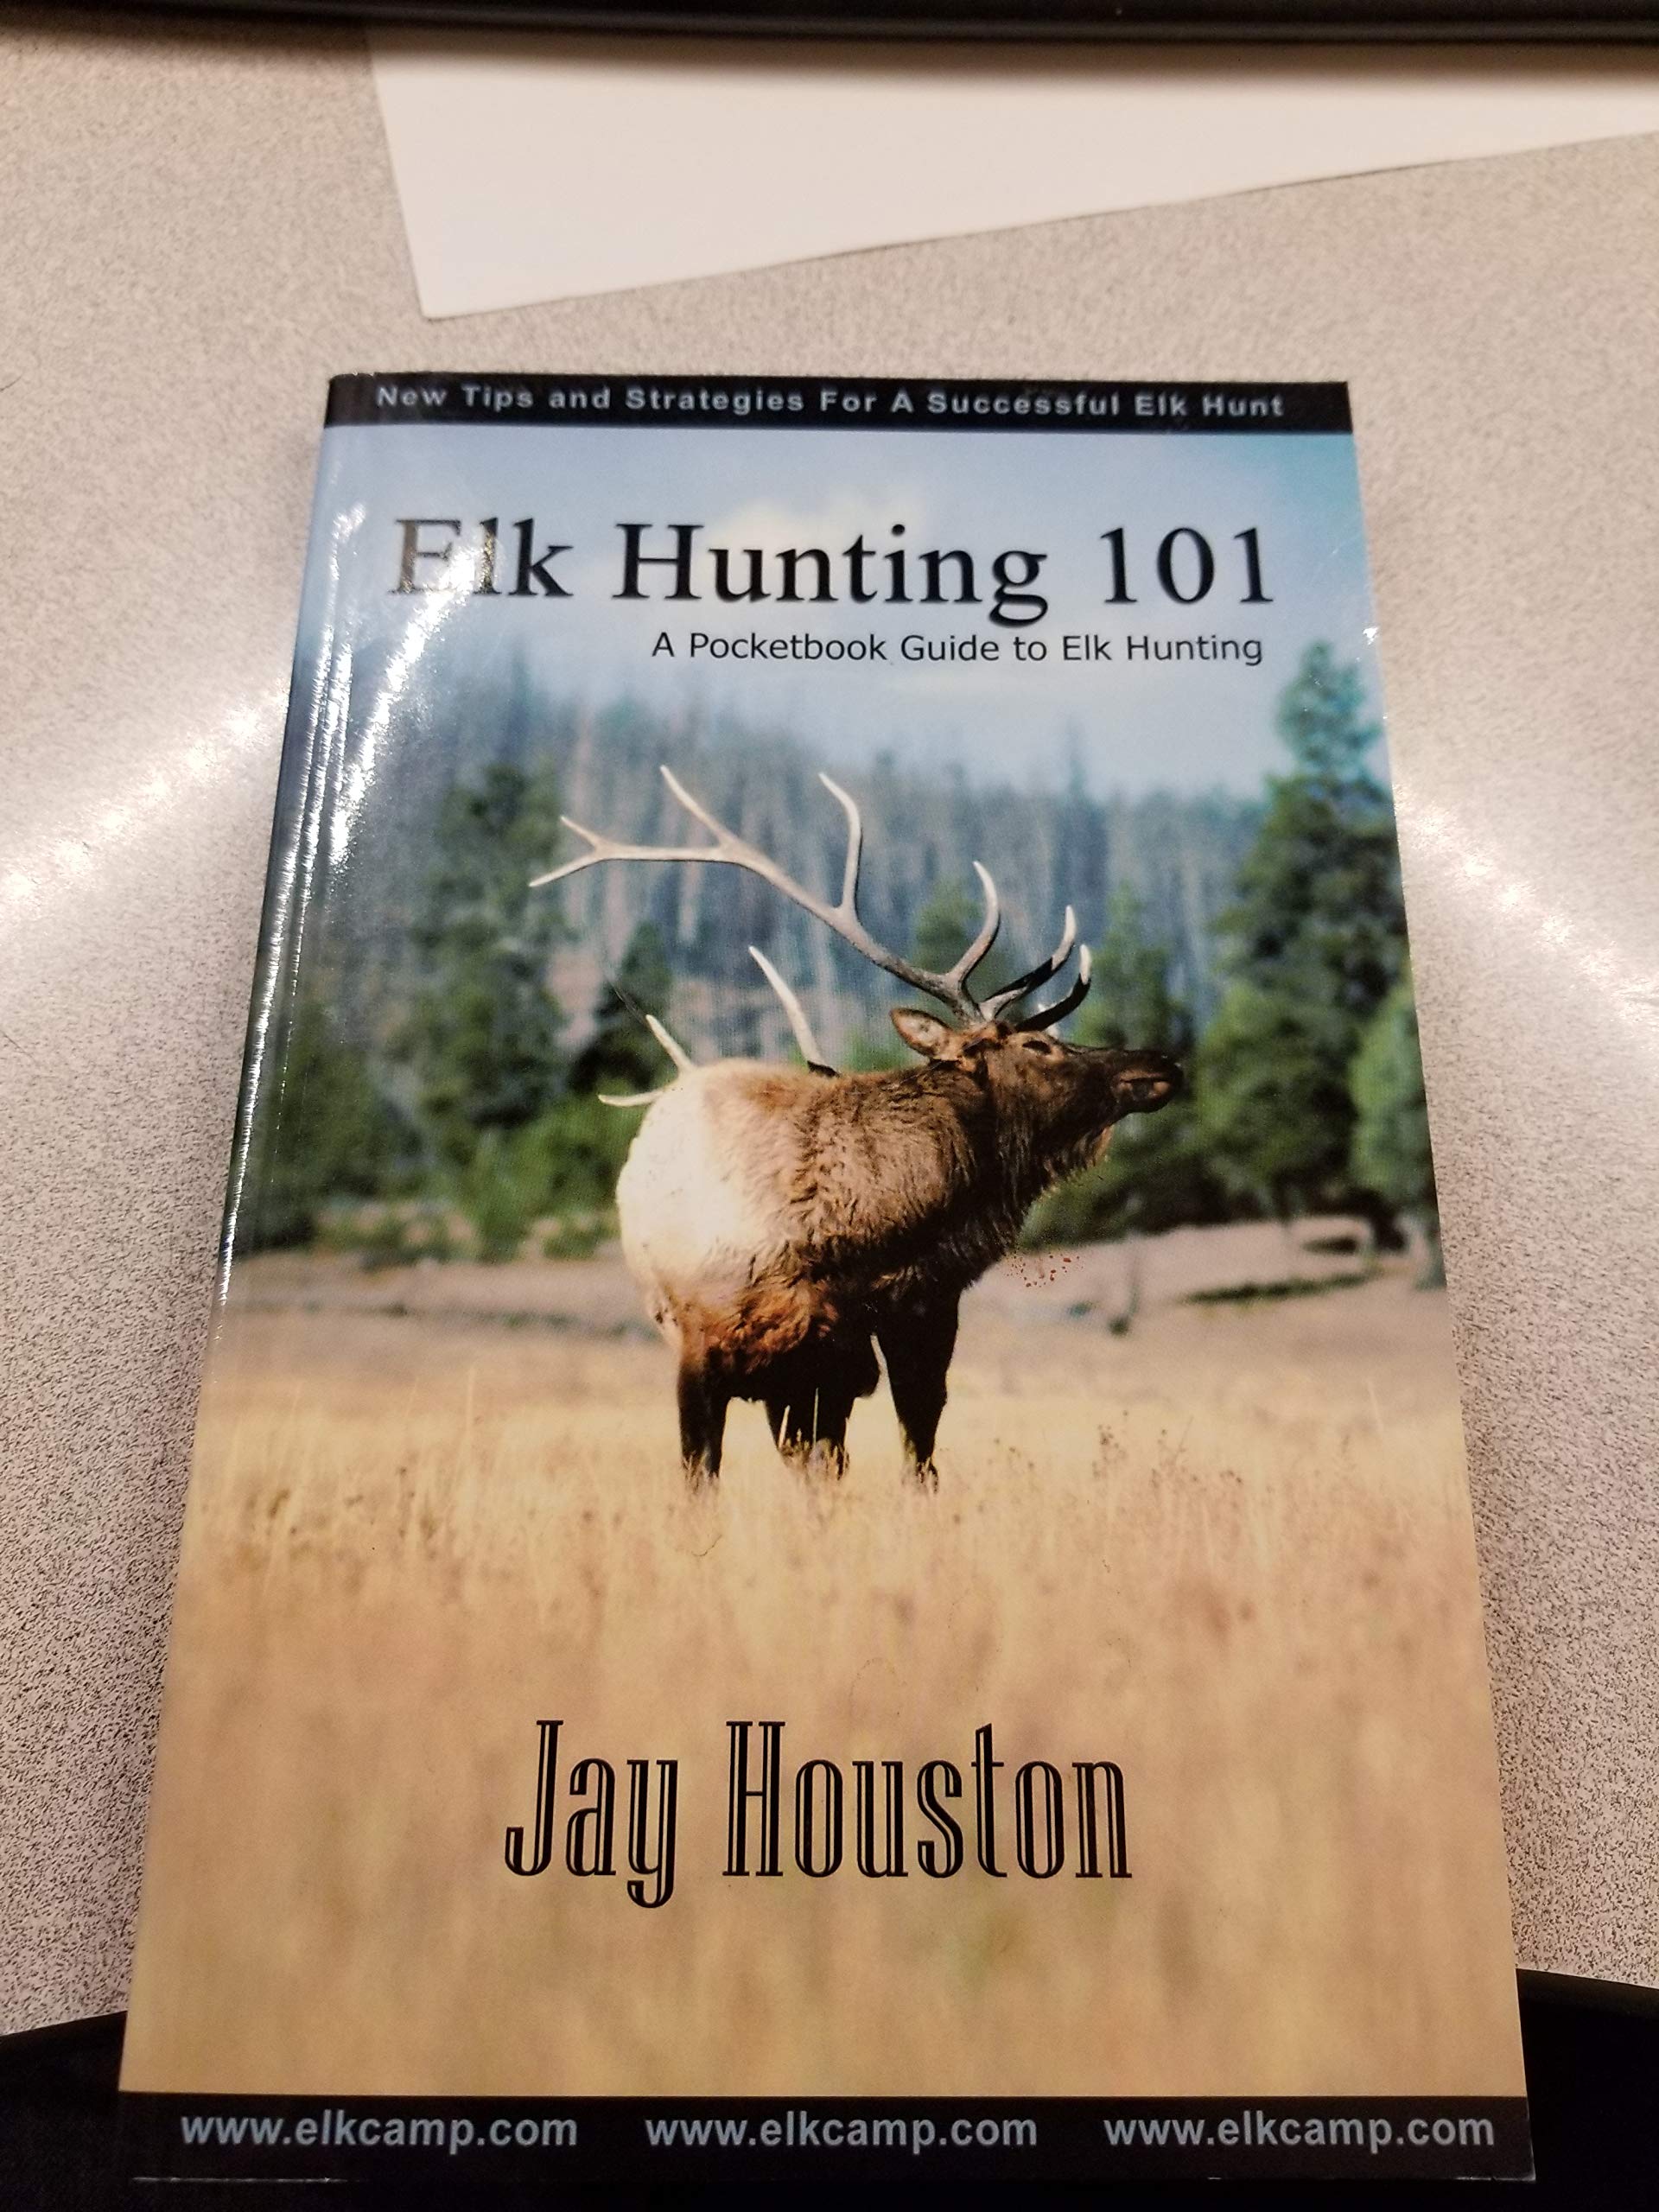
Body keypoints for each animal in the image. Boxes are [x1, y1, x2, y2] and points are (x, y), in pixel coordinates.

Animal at [531, 767, 1181, 1489]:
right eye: (1039, 1045)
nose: (1161, 1063)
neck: (846, 1241)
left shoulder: (885, 1331)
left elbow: (912, 1459)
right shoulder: (706, 1345)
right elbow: (703, 1476)